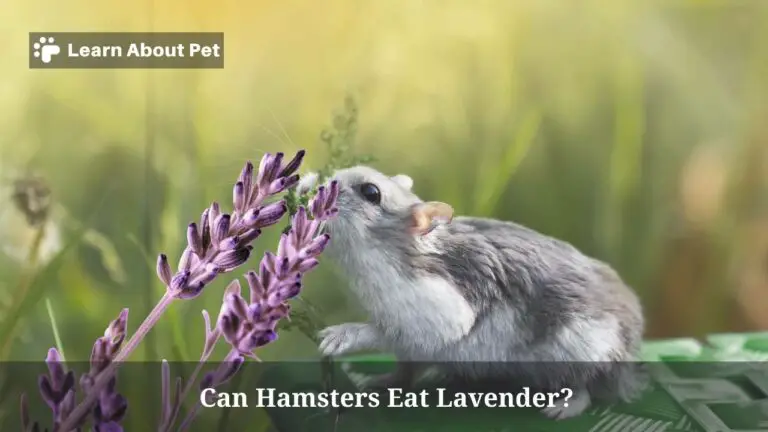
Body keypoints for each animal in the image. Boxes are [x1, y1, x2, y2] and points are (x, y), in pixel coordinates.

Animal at [308, 166, 647, 420]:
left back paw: (560, 408)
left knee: (585, 387)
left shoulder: (435, 314)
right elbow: (405, 369)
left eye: (371, 193)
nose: (313, 188)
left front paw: (331, 338)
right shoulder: (411, 346)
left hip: (577, 349)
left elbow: (381, 331)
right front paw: (374, 383)